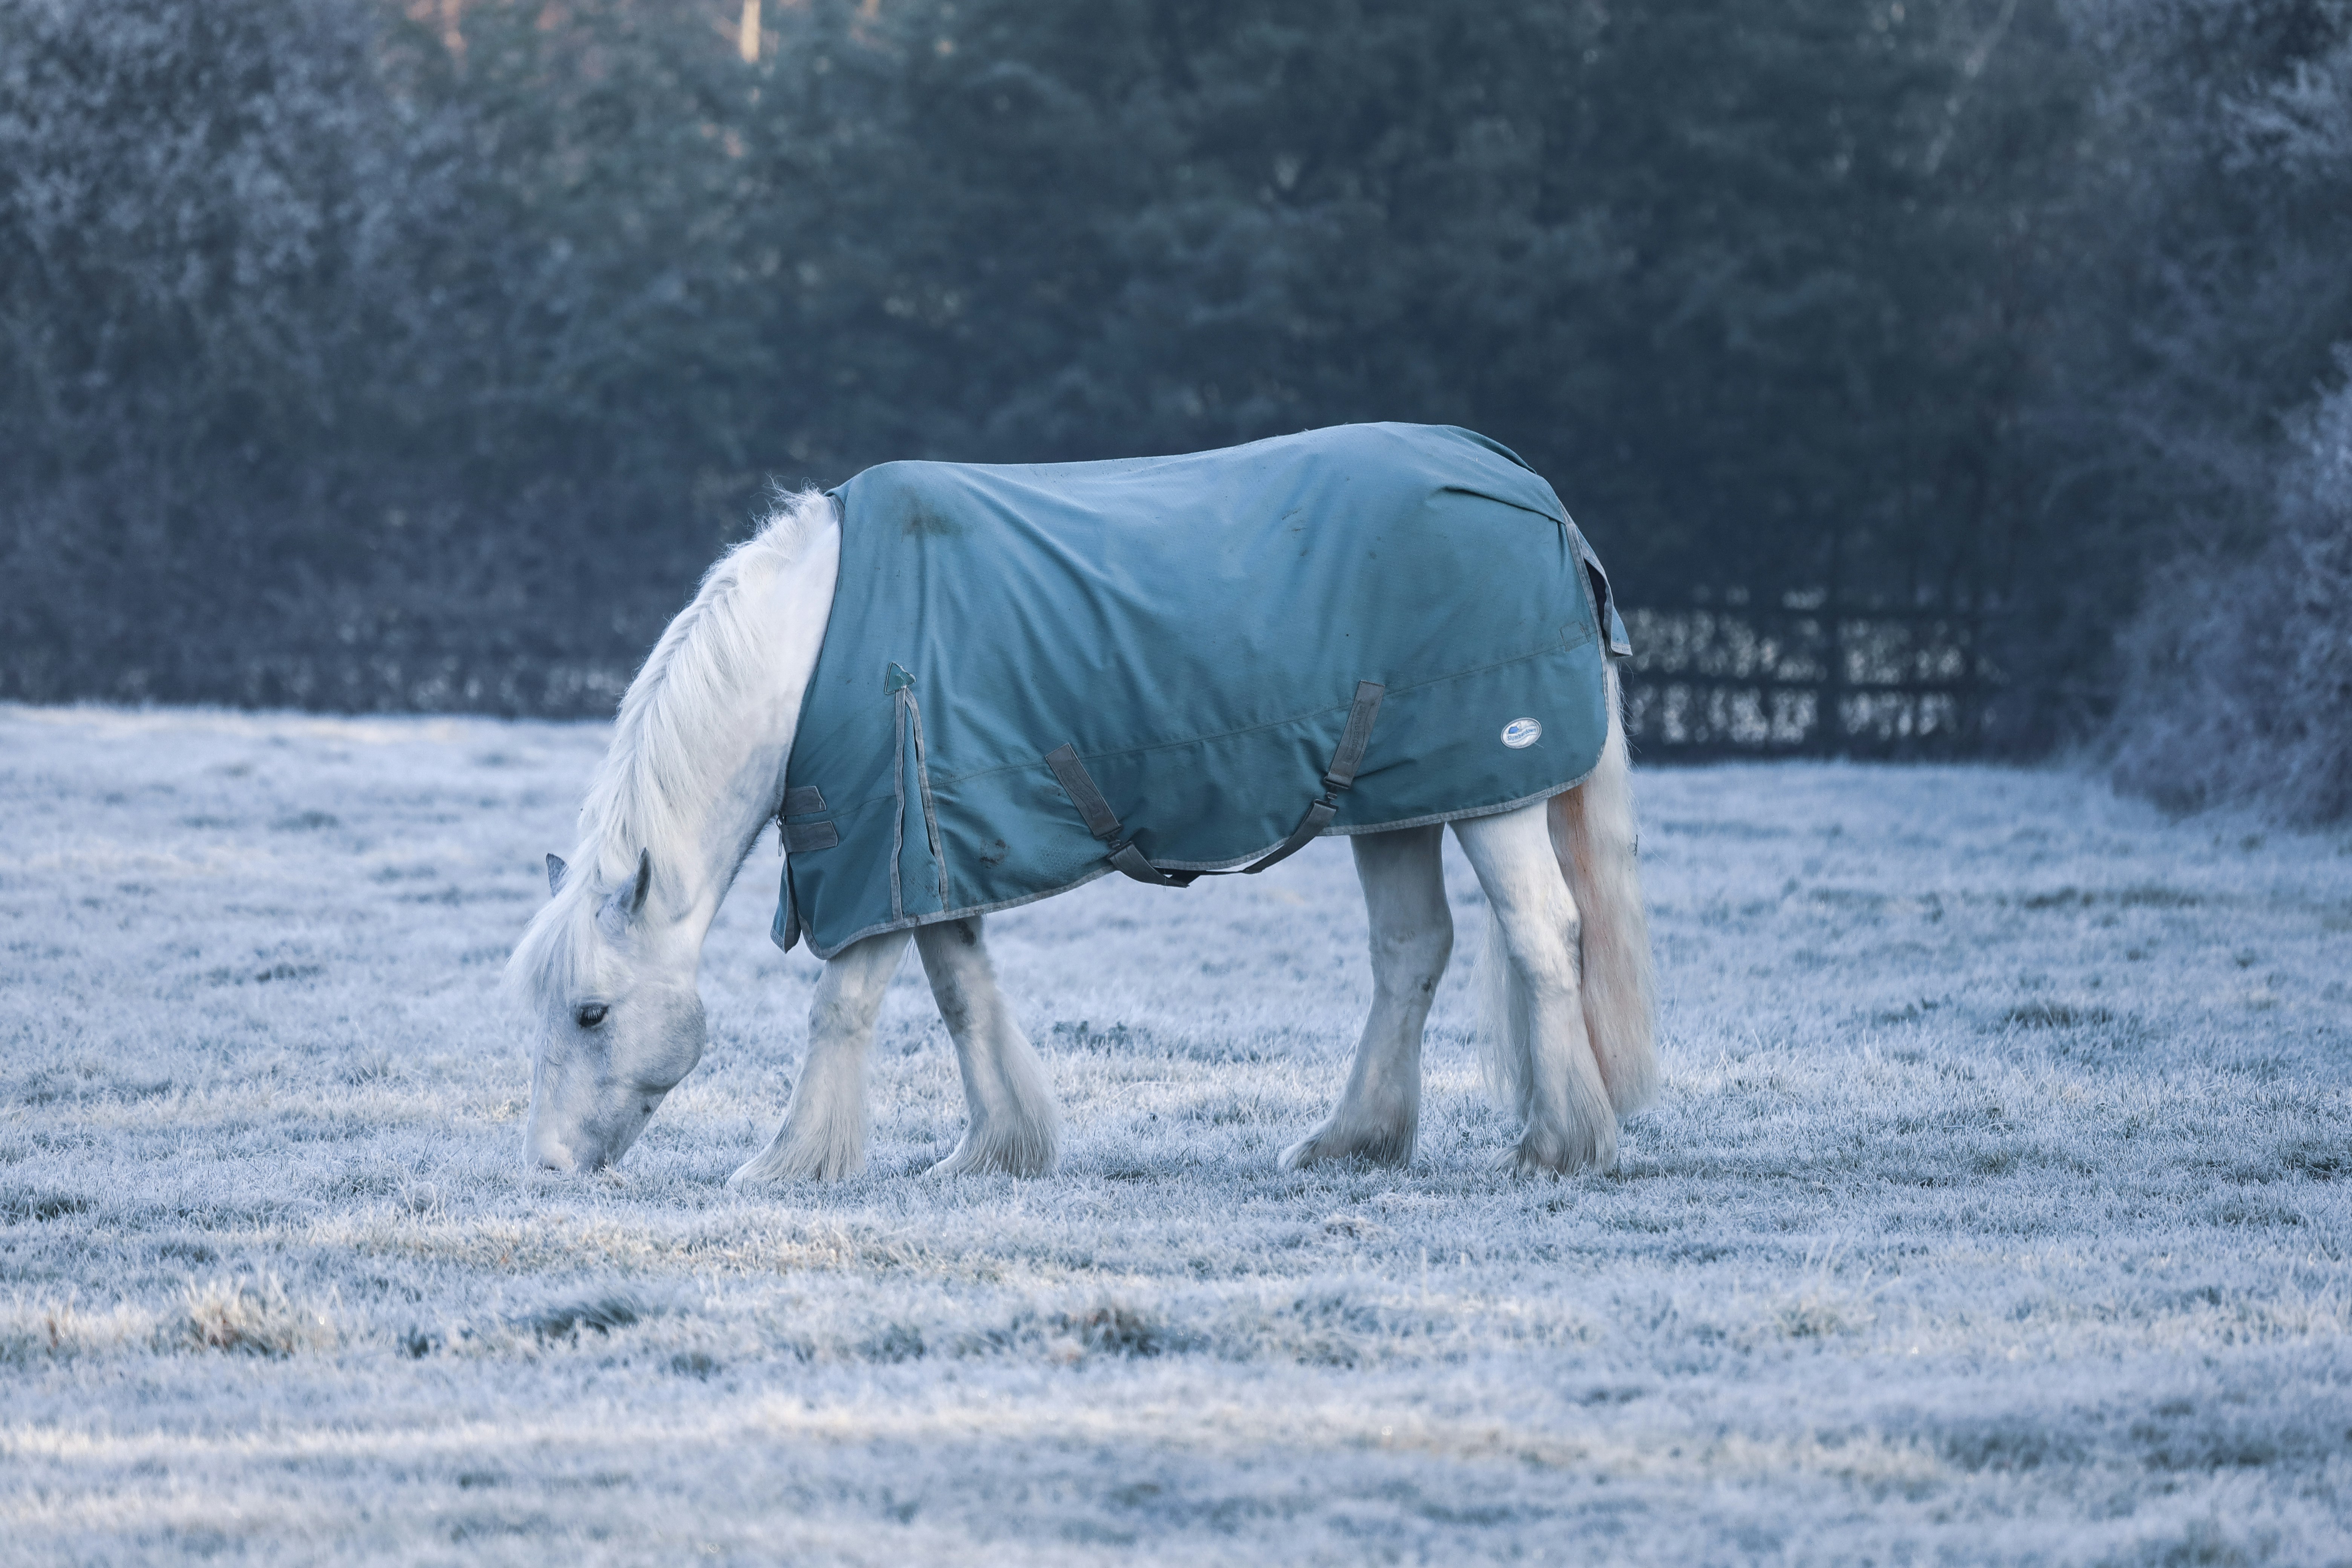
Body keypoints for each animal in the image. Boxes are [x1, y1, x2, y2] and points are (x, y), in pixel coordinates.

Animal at [507, 425, 1656, 1183]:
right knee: (1412, 951)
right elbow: (964, 997)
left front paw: (789, 1164)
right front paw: (993, 1150)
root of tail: (1527, 487)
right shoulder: (935, 853)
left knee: (1543, 934)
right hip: (1400, 805)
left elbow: (842, 1007)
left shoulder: (879, 858)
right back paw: (1353, 1142)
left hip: (1491, 797)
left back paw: (1558, 1147)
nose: (552, 1166)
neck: (814, 649)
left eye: (592, 1011)